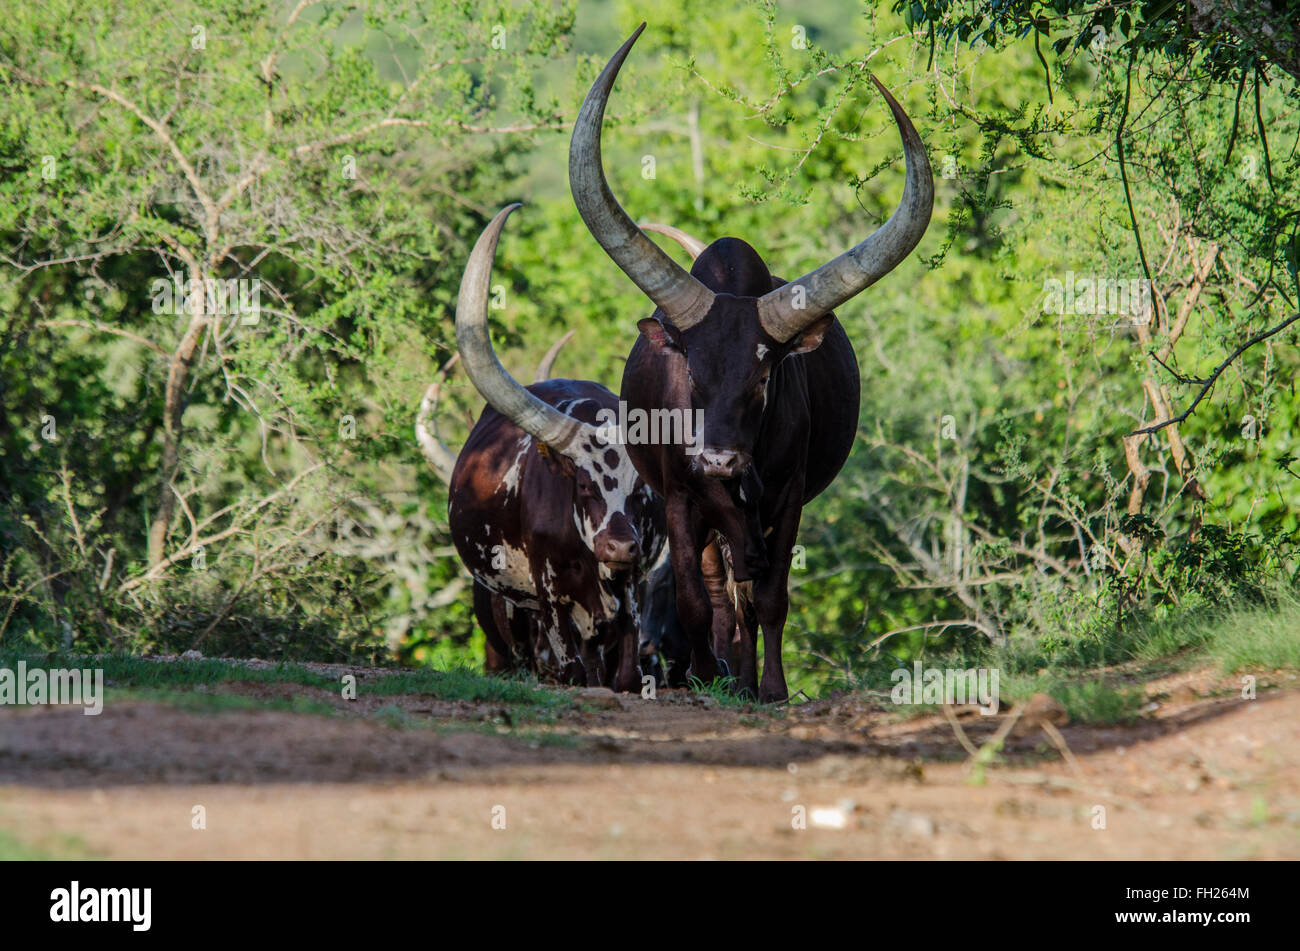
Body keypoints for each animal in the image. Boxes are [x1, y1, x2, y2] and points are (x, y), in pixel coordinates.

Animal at [439, 203, 667, 691]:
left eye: (644, 493)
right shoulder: (550, 595)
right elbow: (570, 669)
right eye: (582, 486)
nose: (619, 546)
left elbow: (625, 672)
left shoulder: (634, 589)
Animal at [569, 24, 934, 702]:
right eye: (692, 372)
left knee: (746, 589)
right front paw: (706, 677)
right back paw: (721, 673)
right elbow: (696, 601)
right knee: (720, 590)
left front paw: (772, 688)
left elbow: (770, 599)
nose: (718, 458)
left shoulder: (787, 499)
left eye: (766, 374)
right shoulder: (682, 500)